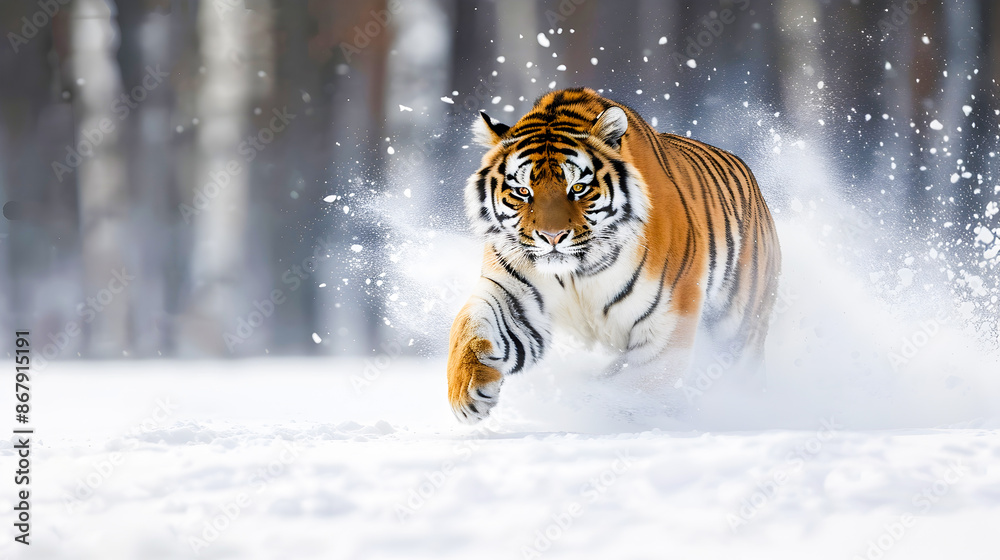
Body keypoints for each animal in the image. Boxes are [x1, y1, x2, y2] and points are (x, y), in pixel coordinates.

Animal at [446, 87, 780, 423]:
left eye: (578, 188)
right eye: (523, 191)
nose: (552, 237)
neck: (577, 271)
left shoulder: (668, 319)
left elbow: (632, 385)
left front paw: (591, 405)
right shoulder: (512, 295)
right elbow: (469, 329)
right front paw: (467, 394)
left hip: (739, 330)